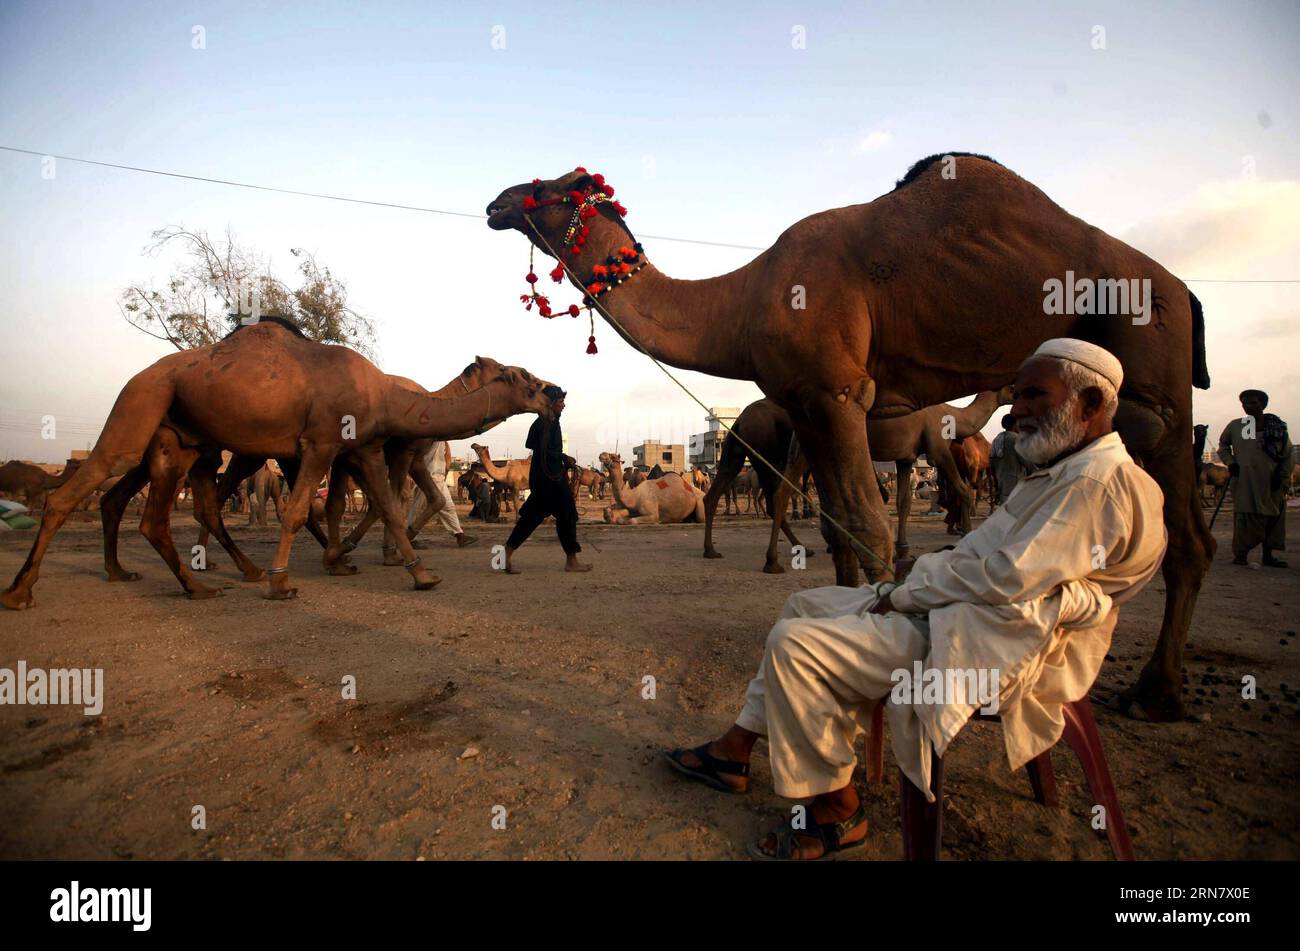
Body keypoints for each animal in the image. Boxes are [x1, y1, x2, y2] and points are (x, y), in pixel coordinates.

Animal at [3, 320, 555, 609]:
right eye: (521, 377)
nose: (557, 393)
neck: (386, 393)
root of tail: (140, 376)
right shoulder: (322, 442)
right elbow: (299, 511)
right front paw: (284, 580)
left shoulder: (361, 448)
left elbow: (387, 509)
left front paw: (420, 575)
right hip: (141, 404)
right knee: (79, 489)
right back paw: (21, 591)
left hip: (180, 437)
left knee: (155, 512)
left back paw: (184, 580)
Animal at [488, 154, 1214, 719]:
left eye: (554, 185)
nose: (497, 201)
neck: (743, 300)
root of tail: (1183, 290)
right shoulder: (807, 405)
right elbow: (837, 523)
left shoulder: (840, 393)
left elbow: (867, 523)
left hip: (1154, 378)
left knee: (1184, 533)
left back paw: (1156, 694)